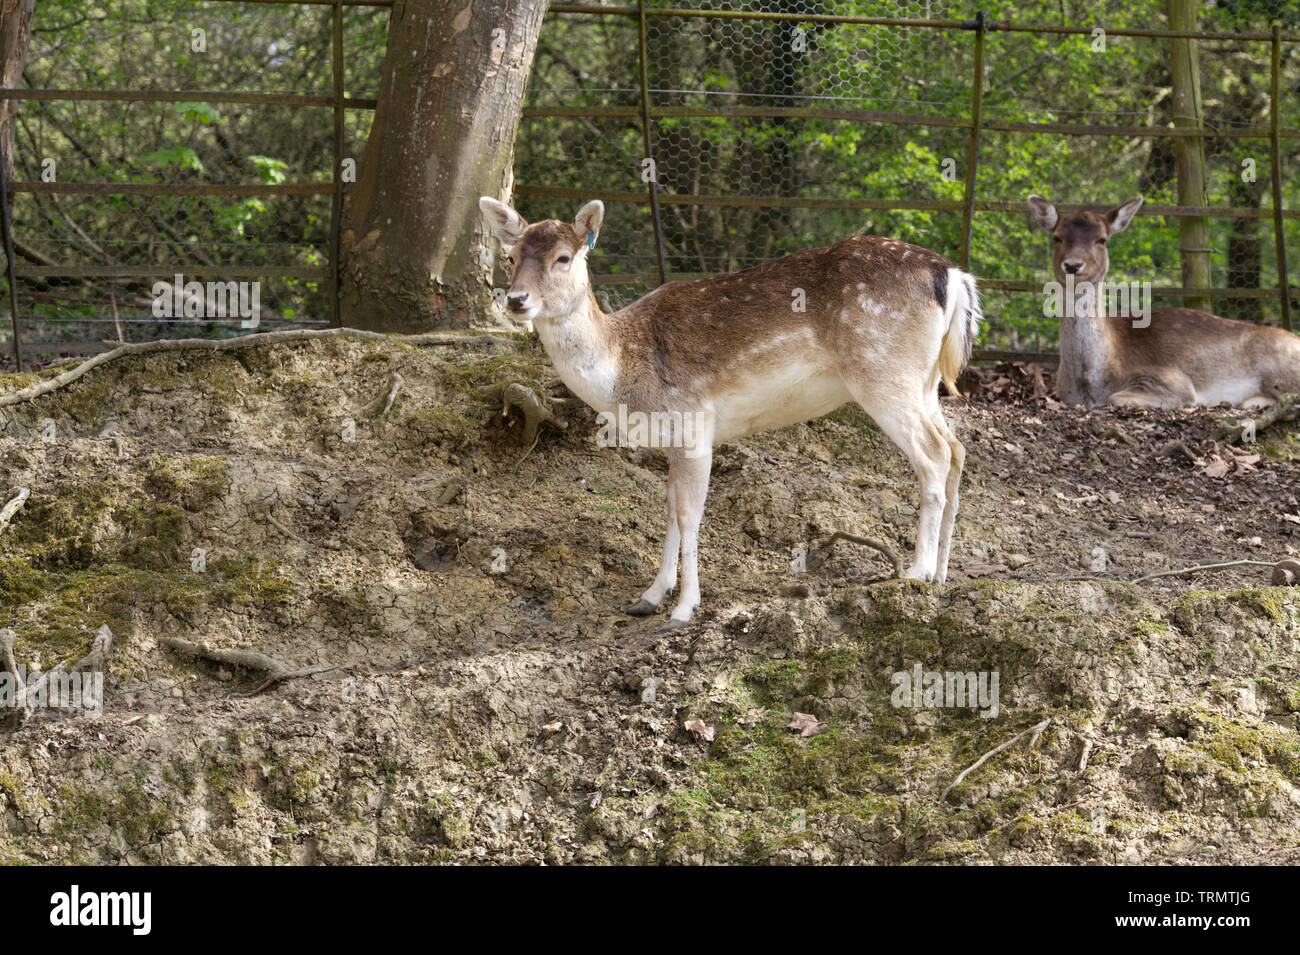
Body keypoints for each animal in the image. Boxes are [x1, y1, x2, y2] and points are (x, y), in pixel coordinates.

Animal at [479, 196, 981, 629]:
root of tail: (953, 276)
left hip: (883, 371)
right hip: (925, 381)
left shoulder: (693, 425)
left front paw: (683, 610)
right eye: (510, 258)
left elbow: (689, 516)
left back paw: (915, 571)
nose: (516, 299)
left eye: (564, 258)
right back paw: (941, 574)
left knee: (934, 454)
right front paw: (648, 598)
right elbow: (669, 510)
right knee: (957, 448)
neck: (621, 370)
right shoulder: (672, 438)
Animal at [1028, 194, 1300, 409]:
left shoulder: (1172, 379)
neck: (1090, 383)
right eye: (1057, 237)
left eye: (1102, 239)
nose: (1073, 265)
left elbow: (1117, 398)